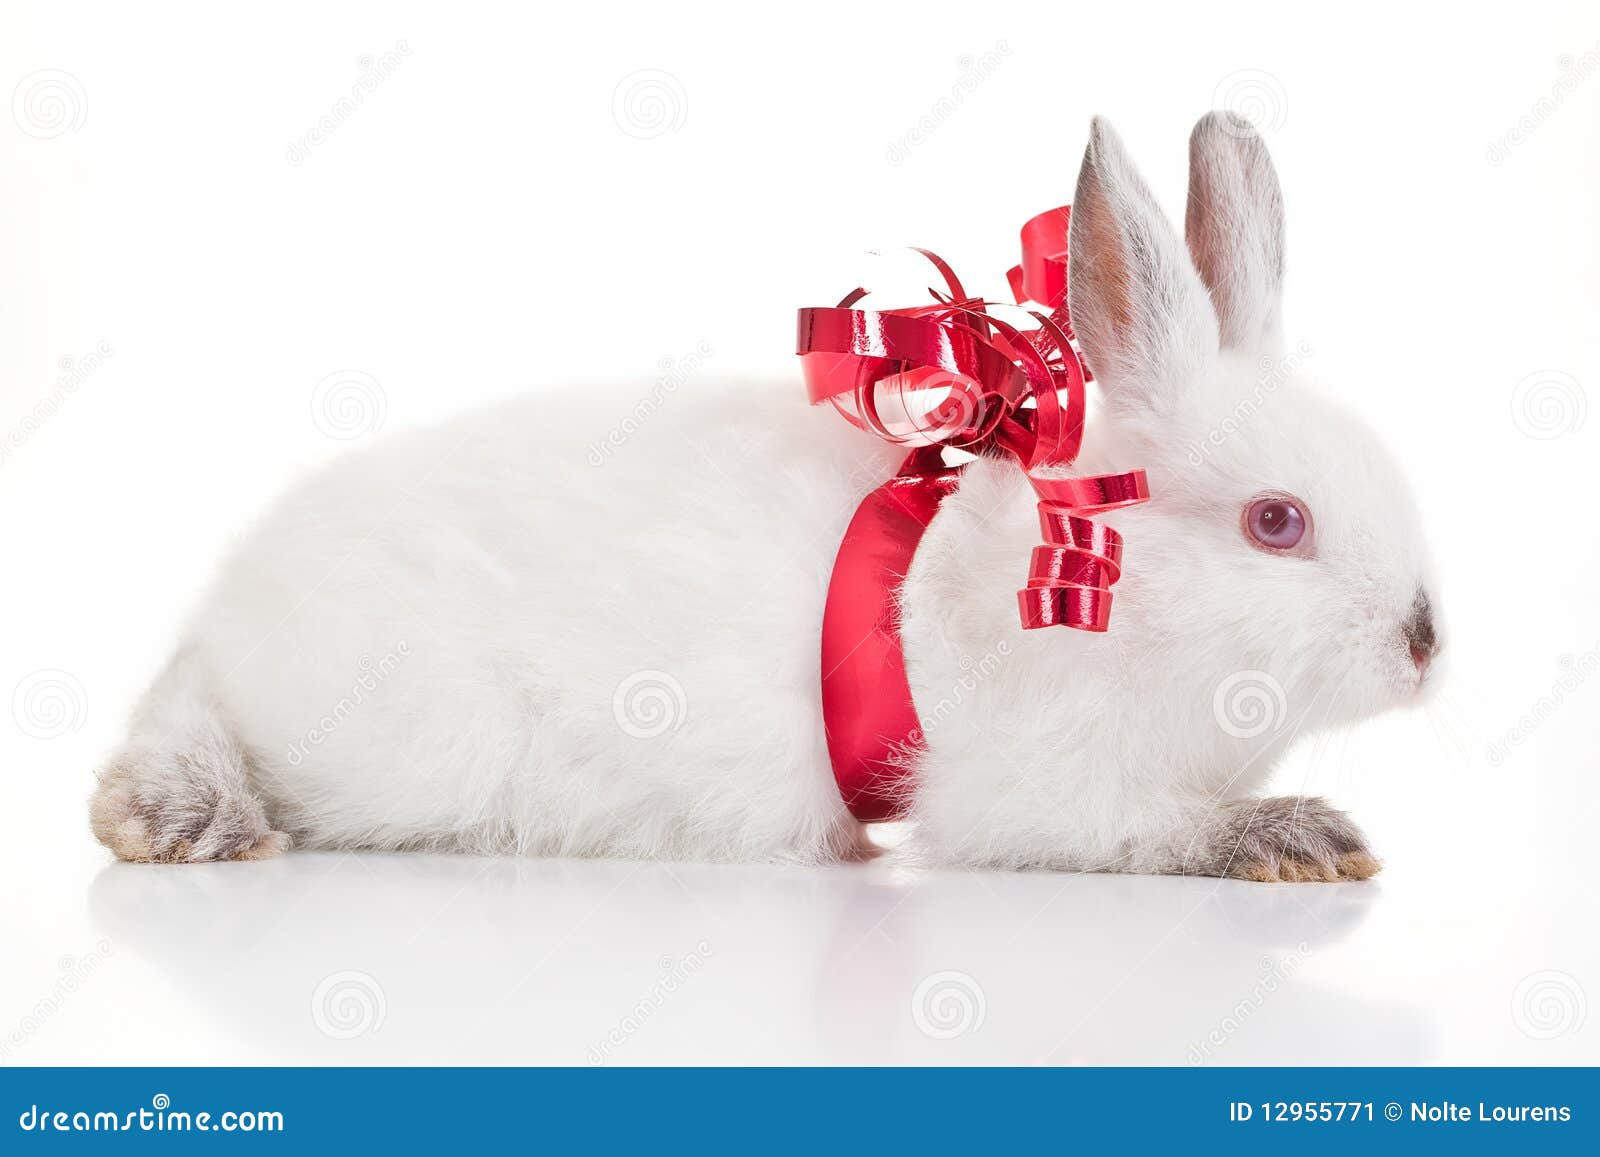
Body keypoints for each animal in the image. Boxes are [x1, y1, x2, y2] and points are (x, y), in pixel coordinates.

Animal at [89, 111, 1440, 881]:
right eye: (1276, 522)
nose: (1426, 642)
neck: (1097, 577)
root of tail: (236, 606)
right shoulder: (1031, 788)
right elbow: (1136, 828)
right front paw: (1301, 838)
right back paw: (178, 812)